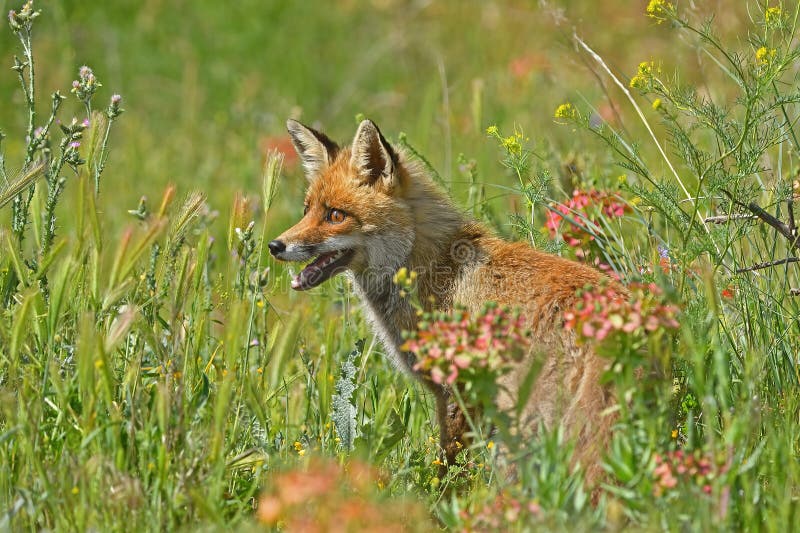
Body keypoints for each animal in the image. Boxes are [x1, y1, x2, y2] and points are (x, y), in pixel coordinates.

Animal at [269, 118, 618, 485]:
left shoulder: (458, 389)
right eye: (307, 210)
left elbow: (450, 467)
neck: (431, 267)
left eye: (336, 216)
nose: (275, 246)